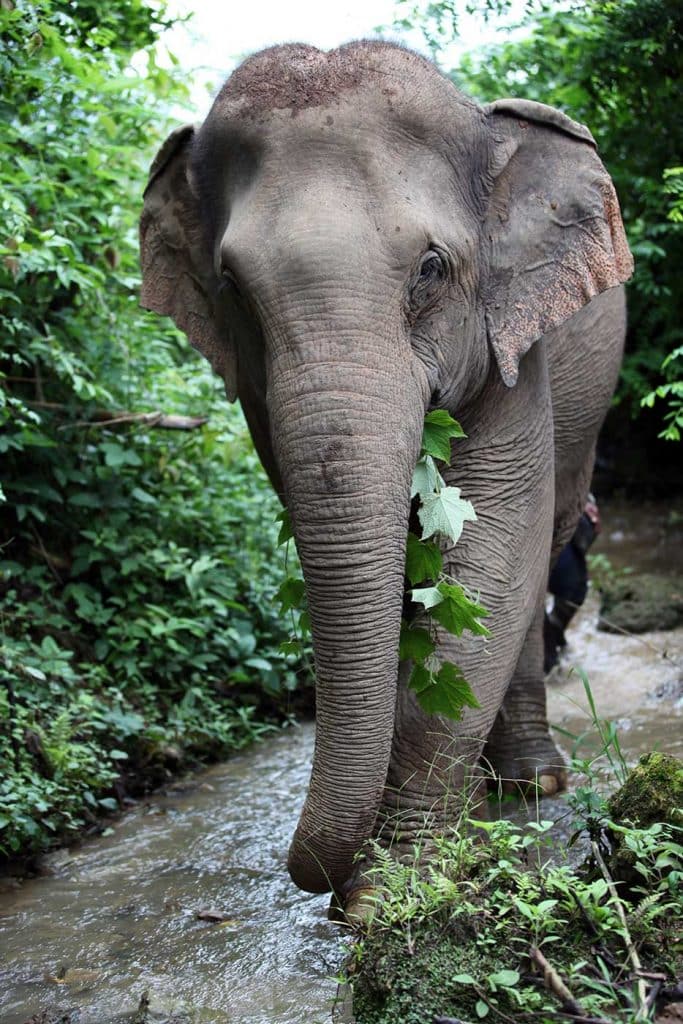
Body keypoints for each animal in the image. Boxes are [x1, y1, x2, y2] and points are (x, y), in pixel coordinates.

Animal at [139, 41, 632, 915]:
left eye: (430, 269)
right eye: (231, 290)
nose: (318, 883)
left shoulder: (512, 339)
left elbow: (494, 546)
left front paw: (386, 893)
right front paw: (389, 878)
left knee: (542, 549)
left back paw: (528, 784)